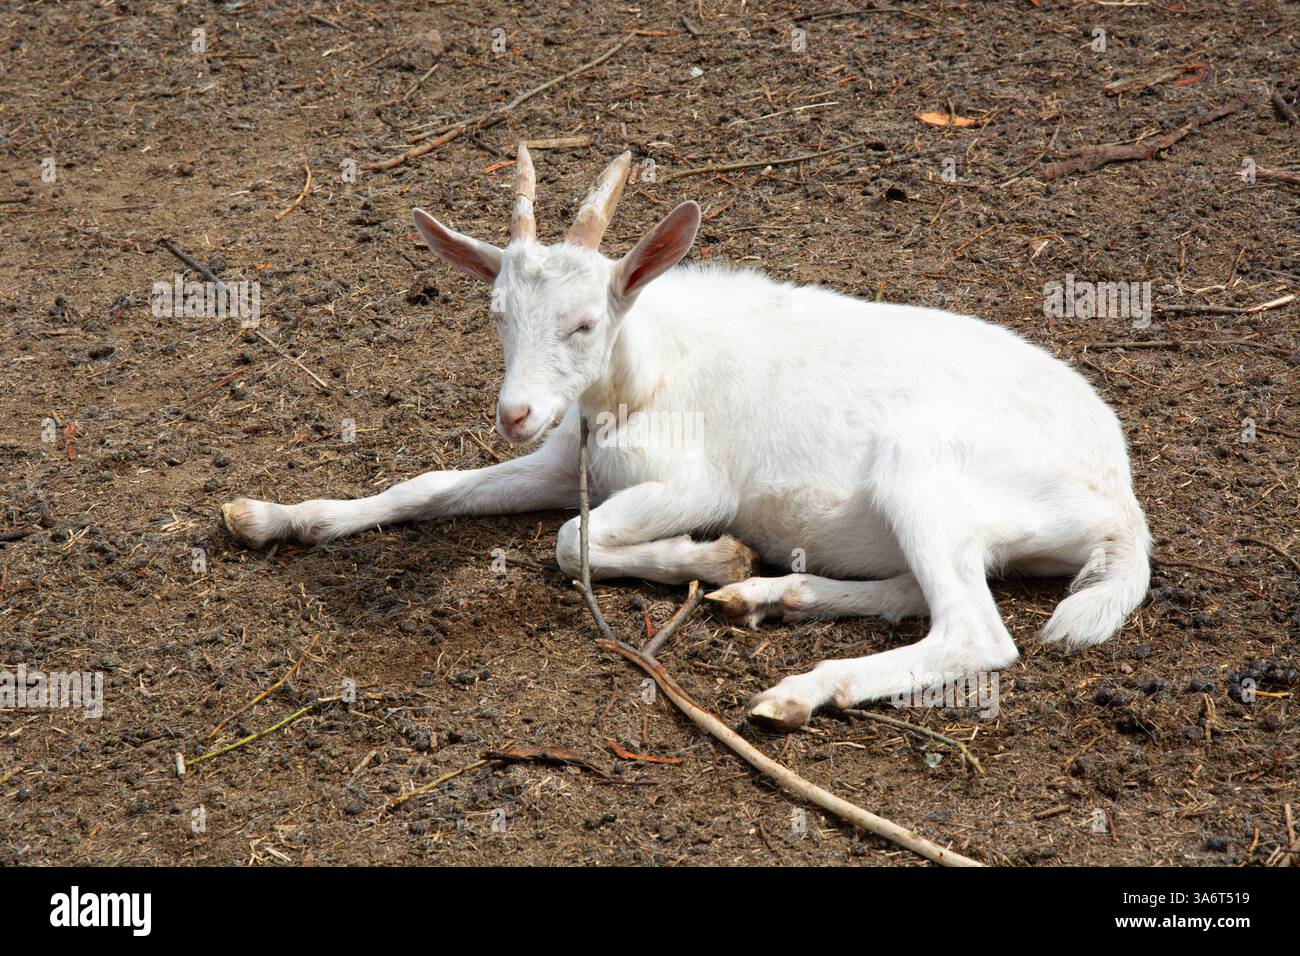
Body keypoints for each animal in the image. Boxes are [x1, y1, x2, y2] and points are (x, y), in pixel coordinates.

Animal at [222, 145, 1151, 729]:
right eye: (496, 314)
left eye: (586, 321)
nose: (513, 413)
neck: (645, 375)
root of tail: (1122, 511)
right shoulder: (567, 459)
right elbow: (426, 488)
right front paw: (275, 517)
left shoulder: (695, 481)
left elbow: (571, 540)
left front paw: (712, 556)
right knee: (927, 592)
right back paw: (777, 598)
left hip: (925, 464)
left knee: (975, 630)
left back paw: (801, 686)